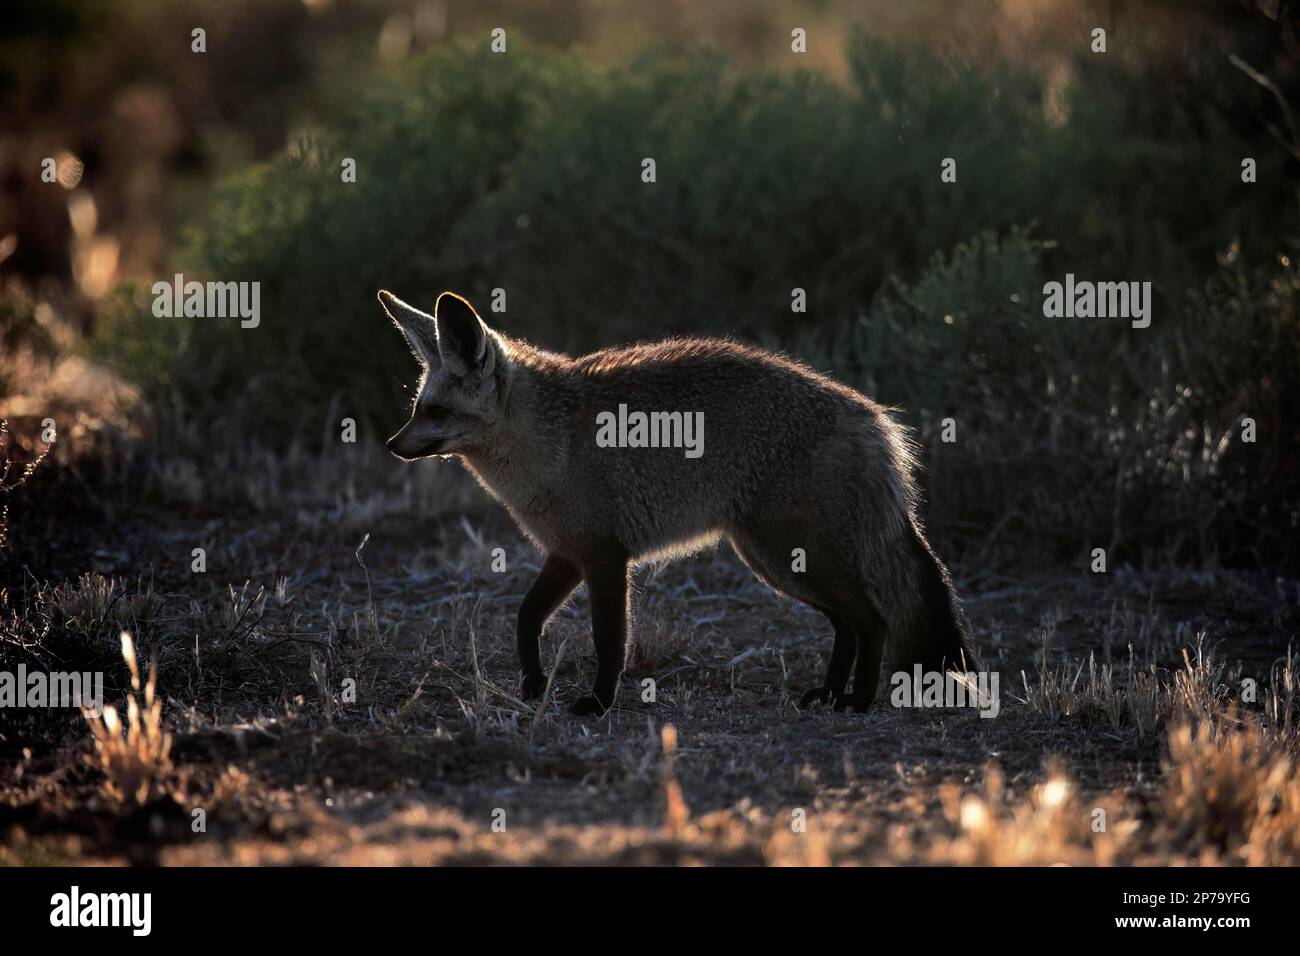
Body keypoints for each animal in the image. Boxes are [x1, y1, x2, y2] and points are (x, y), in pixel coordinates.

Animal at [380, 289, 972, 717]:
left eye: (434, 411)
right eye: (417, 407)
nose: (392, 445)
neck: (552, 442)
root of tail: (876, 419)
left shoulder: (605, 556)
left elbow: (610, 641)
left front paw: (599, 703)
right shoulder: (568, 553)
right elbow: (526, 618)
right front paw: (532, 682)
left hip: (788, 556)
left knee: (872, 621)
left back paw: (858, 701)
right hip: (779, 564)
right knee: (848, 624)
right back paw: (828, 694)